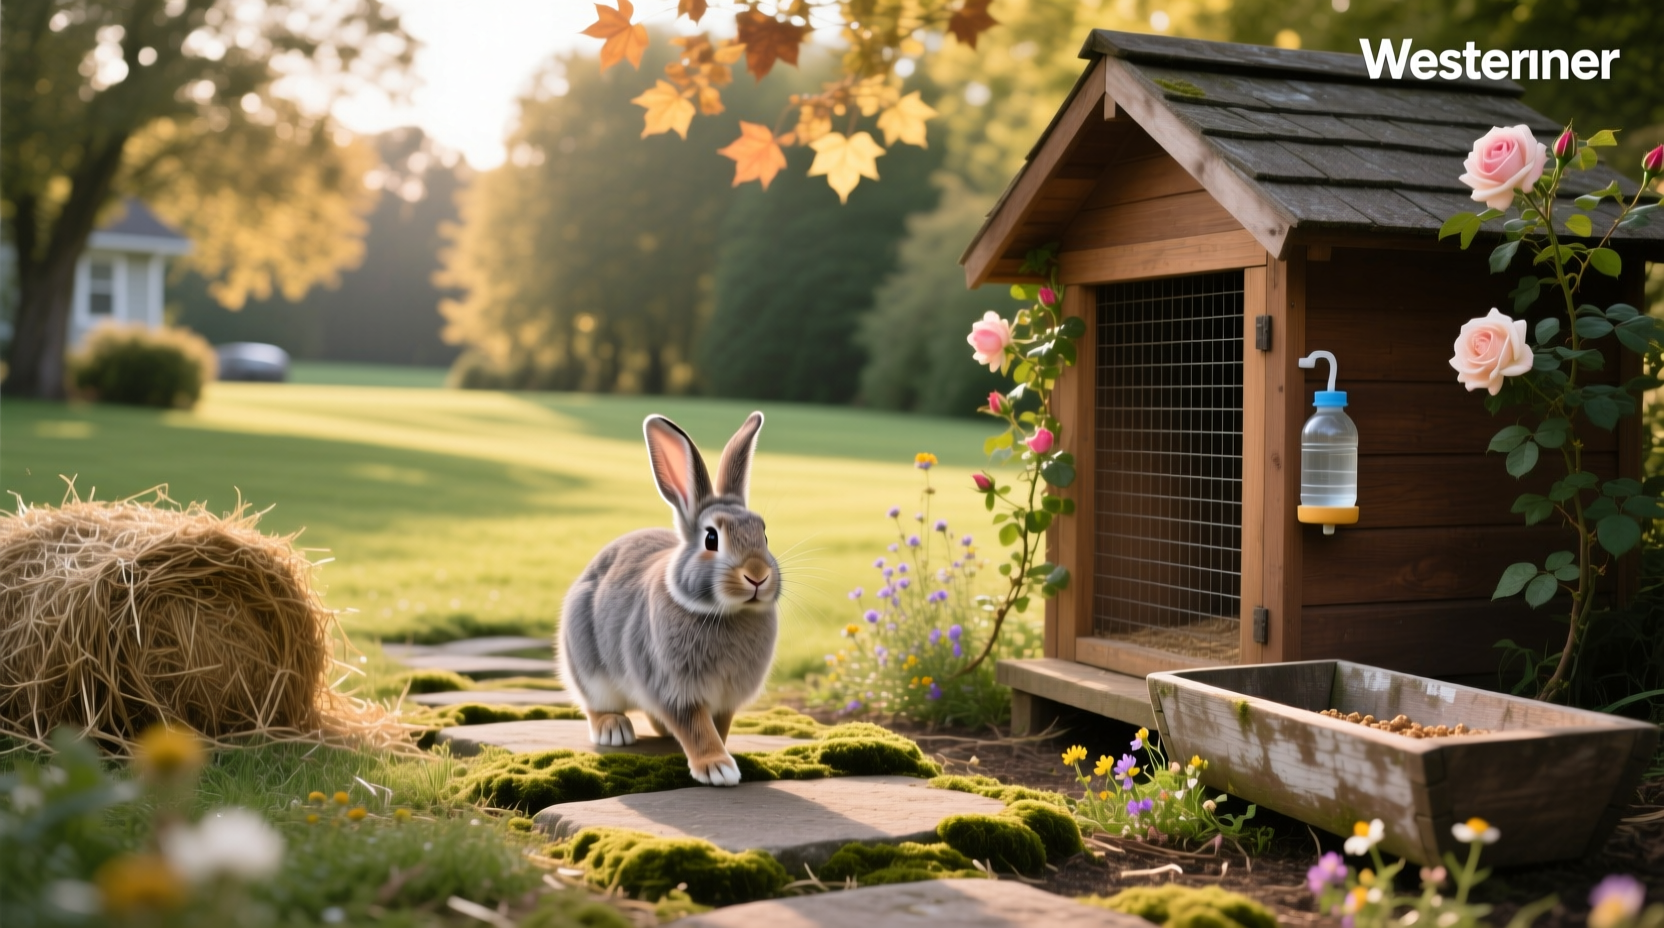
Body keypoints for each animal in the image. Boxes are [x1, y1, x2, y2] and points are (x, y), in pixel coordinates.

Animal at [556, 411, 779, 787]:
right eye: (711, 538)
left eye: (763, 534)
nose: (758, 575)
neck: (722, 612)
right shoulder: (674, 688)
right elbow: (697, 728)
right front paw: (718, 768)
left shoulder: (725, 699)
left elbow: (716, 725)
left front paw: (721, 756)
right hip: (586, 665)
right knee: (595, 704)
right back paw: (614, 730)